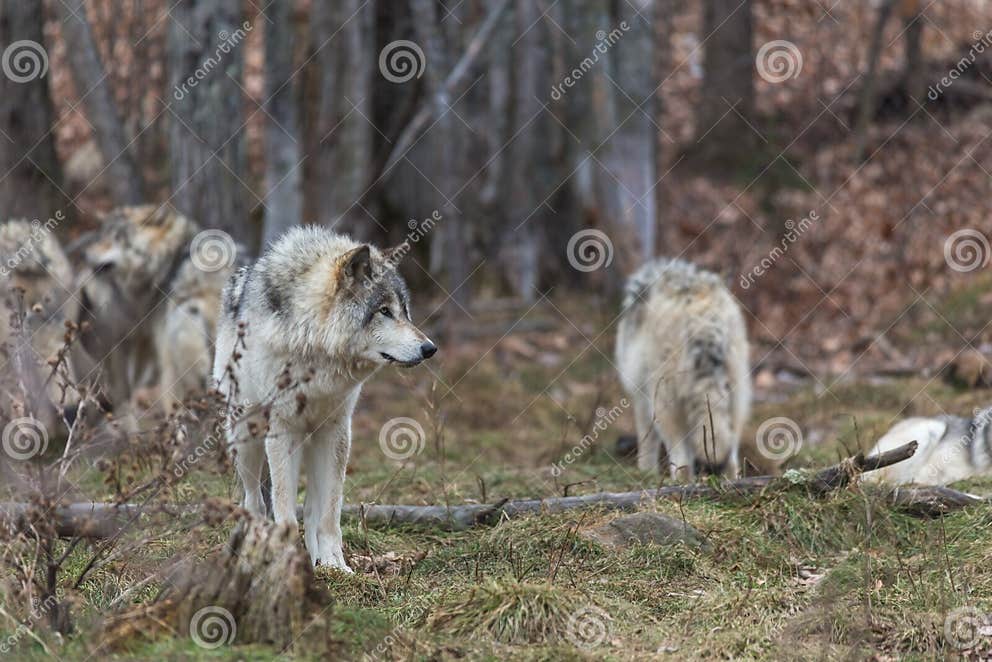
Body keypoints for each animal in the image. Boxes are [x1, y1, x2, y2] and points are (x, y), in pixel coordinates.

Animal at [212, 226, 437, 571]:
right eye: (384, 311)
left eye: (405, 312)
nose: (430, 348)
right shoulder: (282, 430)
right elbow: (283, 509)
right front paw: (285, 562)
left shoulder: (336, 430)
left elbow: (329, 515)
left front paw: (335, 566)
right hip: (247, 437)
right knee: (254, 500)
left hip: (313, 441)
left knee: (312, 509)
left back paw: (315, 559)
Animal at [615, 258, 750, 480]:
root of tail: (704, 319)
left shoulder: (641, 399)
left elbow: (647, 441)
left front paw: (645, 472)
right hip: (737, 399)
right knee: (730, 456)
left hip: (664, 403)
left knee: (682, 461)